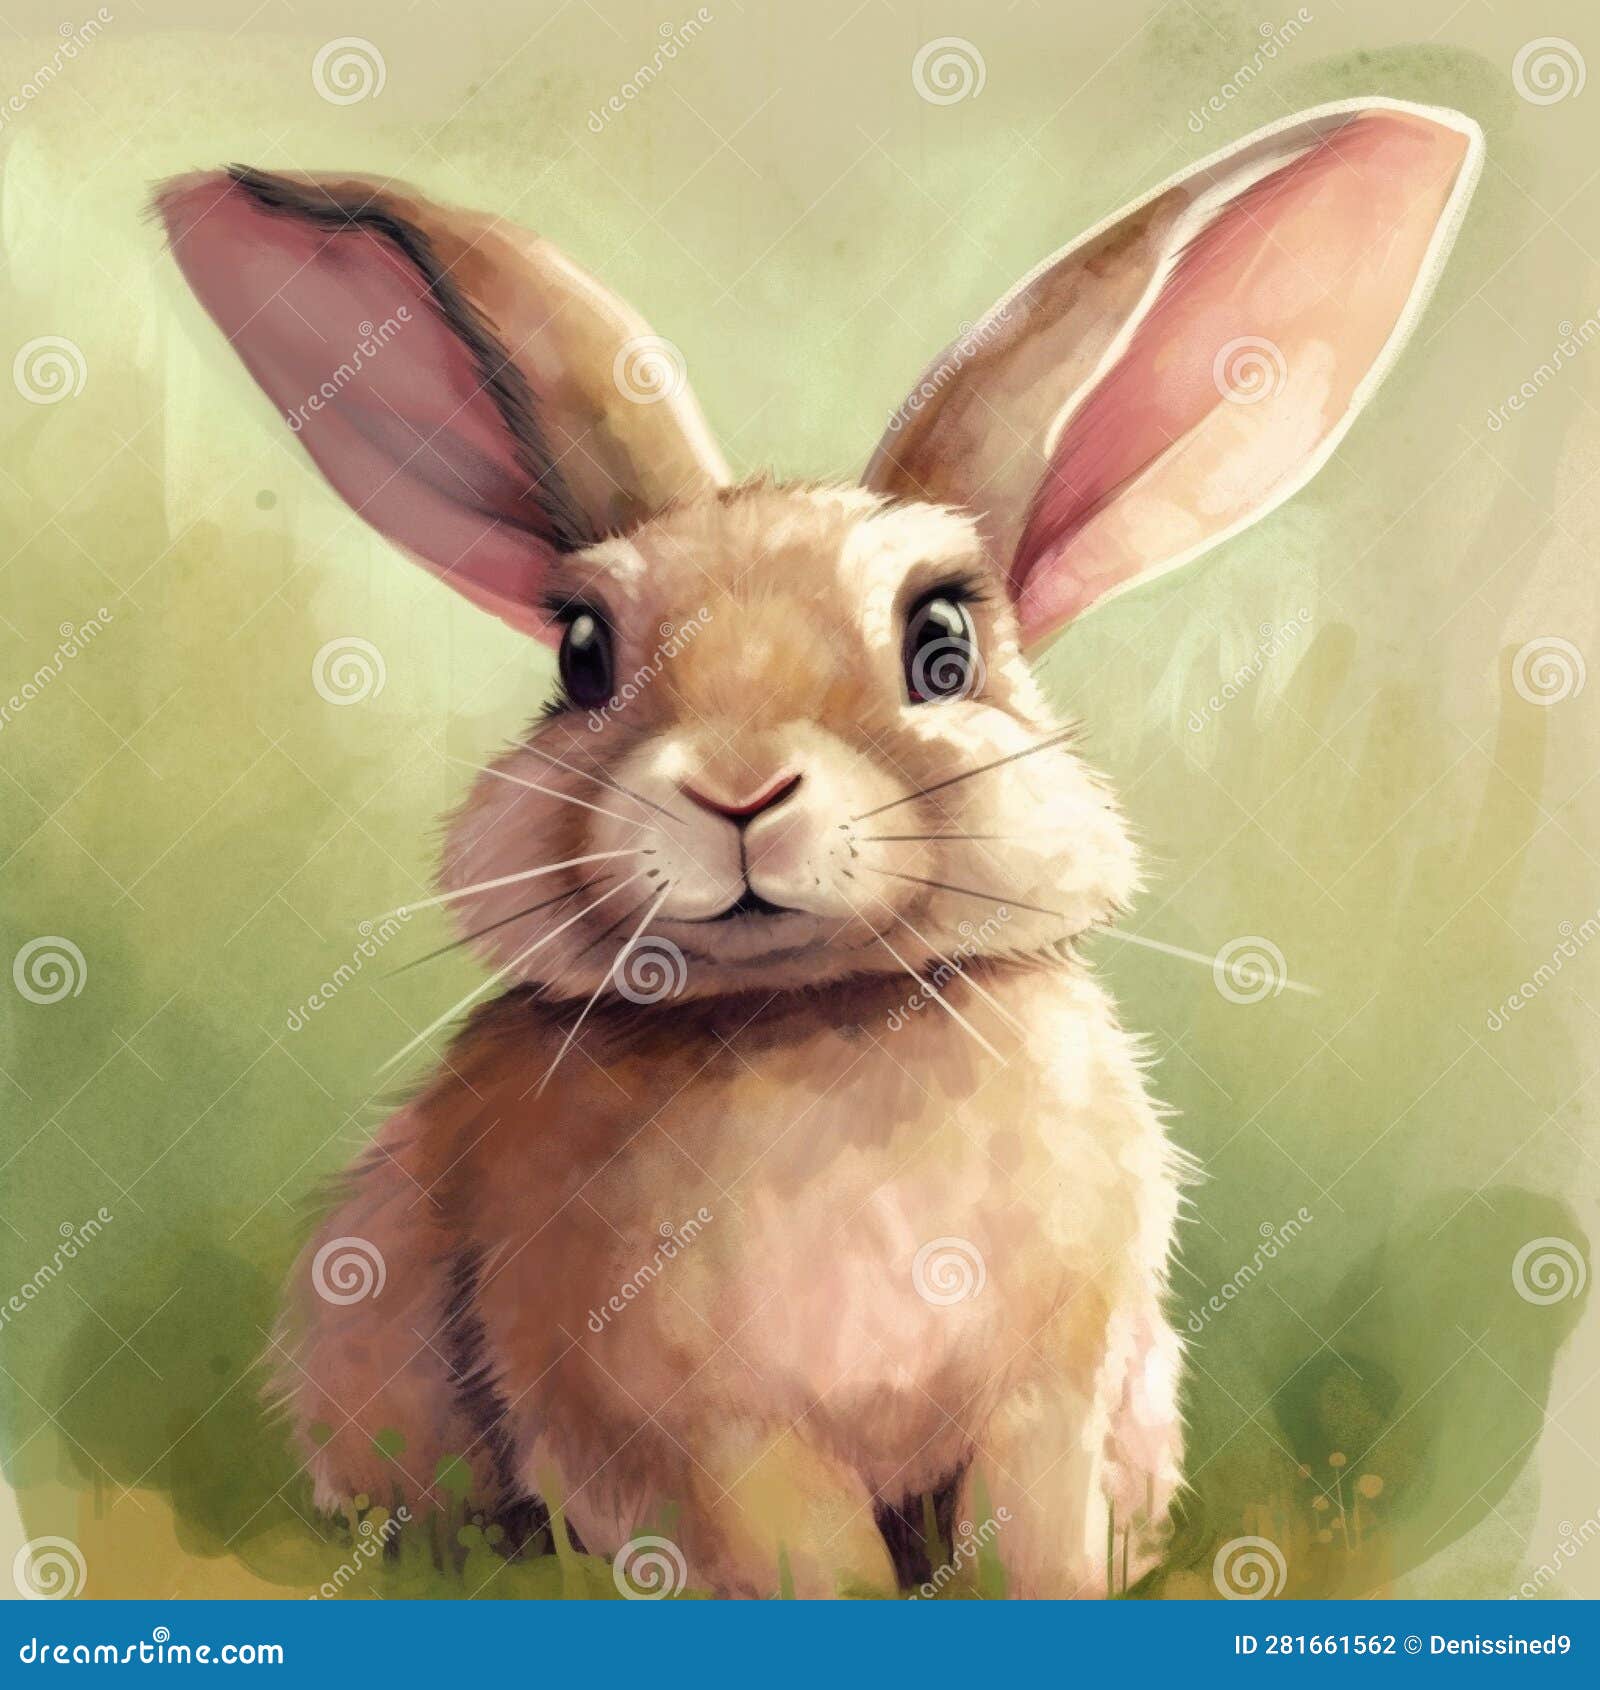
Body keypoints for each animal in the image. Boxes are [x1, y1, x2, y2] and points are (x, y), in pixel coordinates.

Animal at [154, 97, 1481, 1598]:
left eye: (943, 644)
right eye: (582, 654)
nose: (738, 788)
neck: (810, 1017)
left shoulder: (1052, 1400)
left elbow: (1031, 1537)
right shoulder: (702, 1433)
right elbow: (805, 1557)